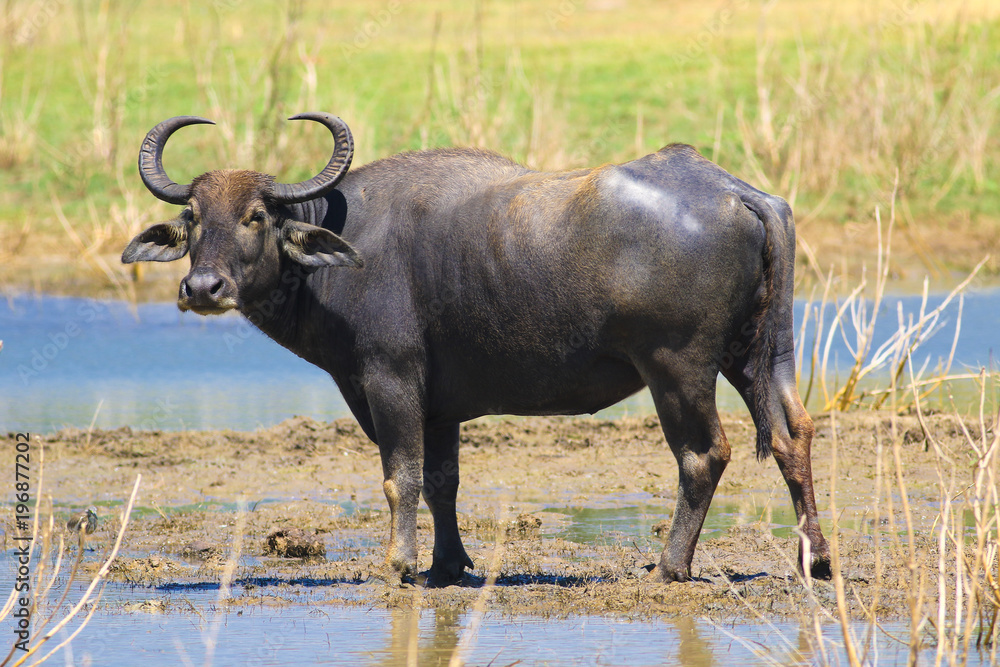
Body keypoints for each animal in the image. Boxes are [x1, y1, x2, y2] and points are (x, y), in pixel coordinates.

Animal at [123, 113, 831, 585]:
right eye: (192, 220)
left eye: (255, 216)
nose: (202, 288)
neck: (340, 251)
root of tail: (736, 192)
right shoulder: (440, 409)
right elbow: (444, 481)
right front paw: (447, 564)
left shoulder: (389, 381)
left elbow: (401, 477)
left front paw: (400, 564)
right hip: (759, 355)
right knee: (792, 434)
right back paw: (815, 558)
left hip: (677, 367)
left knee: (703, 455)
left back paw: (669, 566)